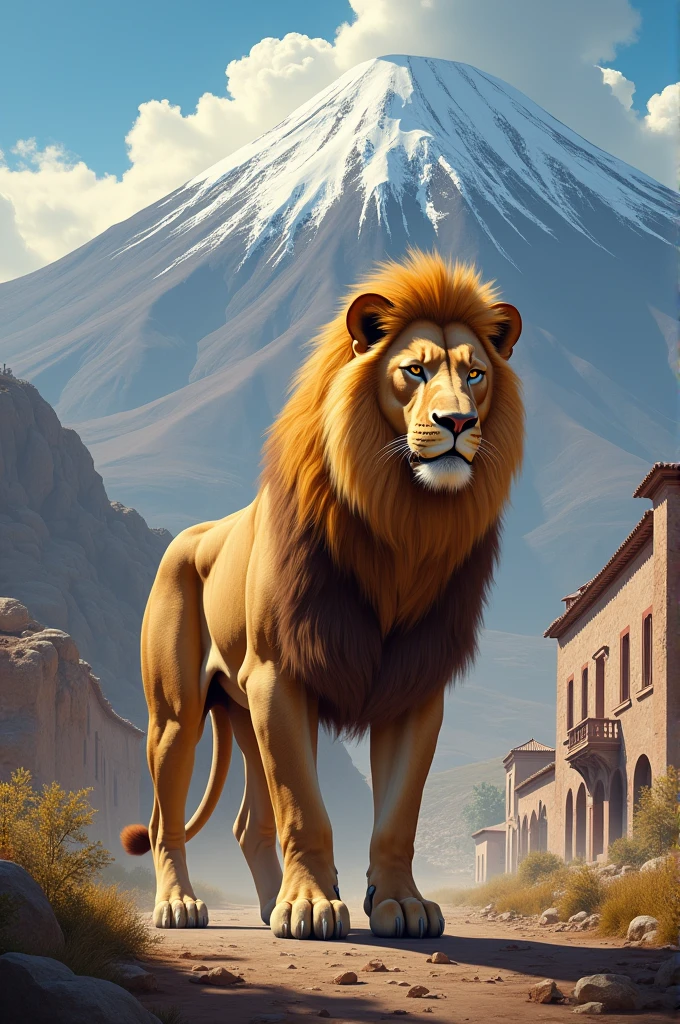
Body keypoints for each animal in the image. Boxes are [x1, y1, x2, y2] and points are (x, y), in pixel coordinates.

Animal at [121, 250, 524, 941]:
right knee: (164, 819)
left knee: (247, 823)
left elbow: (397, 816)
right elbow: (304, 808)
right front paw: (310, 905)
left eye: (475, 374)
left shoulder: (416, 686)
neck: (403, 527)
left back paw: (266, 906)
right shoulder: (279, 676)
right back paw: (181, 906)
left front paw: (402, 905)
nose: (458, 422)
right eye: (414, 371)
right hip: (176, 715)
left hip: (241, 713)